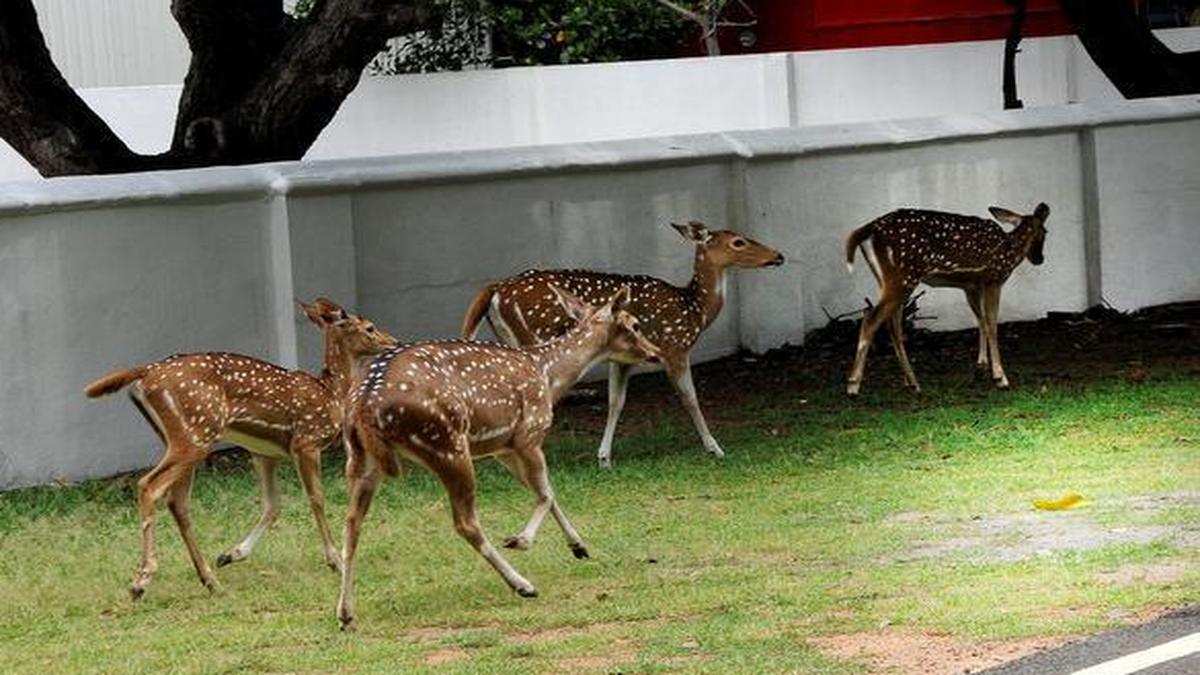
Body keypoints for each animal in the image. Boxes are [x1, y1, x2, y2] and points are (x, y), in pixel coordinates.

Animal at [84, 299, 397, 600]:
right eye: (369, 327)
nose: (392, 341)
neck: (332, 392)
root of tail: (146, 373)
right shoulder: (306, 441)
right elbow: (317, 498)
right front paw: (336, 562)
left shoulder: (264, 454)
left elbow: (272, 505)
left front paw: (231, 554)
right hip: (194, 434)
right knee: (149, 485)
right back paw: (141, 582)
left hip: (181, 438)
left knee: (177, 502)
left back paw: (210, 581)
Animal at [336, 285, 660, 630]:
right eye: (635, 324)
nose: (654, 352)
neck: (548, 375)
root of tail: (364, 404)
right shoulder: (530, 433)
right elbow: (545, 494)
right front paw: (521, 540)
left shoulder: (502, 447)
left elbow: (547, 491)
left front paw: (579, 546)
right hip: (446, 445)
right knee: (465, 522)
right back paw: (523, 584)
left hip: (360, 459)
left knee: (351, 522)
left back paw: (345, 614)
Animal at [460, 221, 785, 467]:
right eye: (738, 242)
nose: (779, 255)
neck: (694, 310)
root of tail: (494, 290)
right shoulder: (675, 348)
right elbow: (689, 397)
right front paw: (714, 448)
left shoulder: (622, 360)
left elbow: (616, 402)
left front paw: (604, 458)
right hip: (537, 337)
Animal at [843, 203, 1050, 396]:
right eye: (1045, 232)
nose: (1039, 259)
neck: (1010, 253)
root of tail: (869, 228)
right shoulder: (993, 278)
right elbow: (991, 324)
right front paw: (1000, 378)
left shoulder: (971, 286)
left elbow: (981, 320)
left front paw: (981, 367)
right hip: (903, 276)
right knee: (872, 319)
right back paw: (853, 386)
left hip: (891, 280)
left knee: (891, 324)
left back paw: (912, 382)